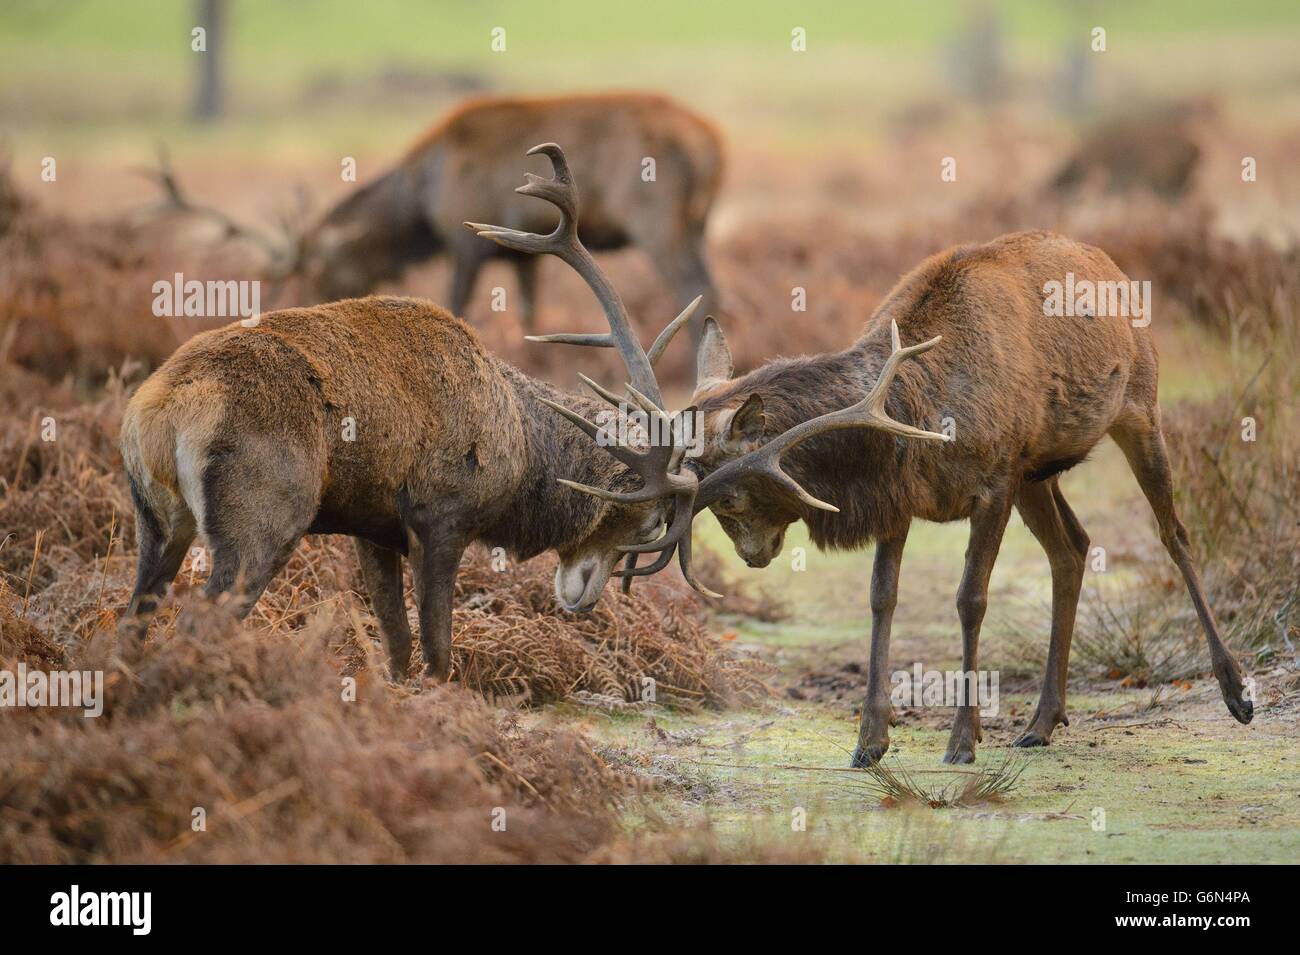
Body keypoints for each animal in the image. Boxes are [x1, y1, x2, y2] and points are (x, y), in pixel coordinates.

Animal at [120, 143, 707, 680]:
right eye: (646, 522)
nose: (585, 600)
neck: (522, 453)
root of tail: (160, 412)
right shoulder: (442, 515)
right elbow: (439, 653)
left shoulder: (371, 527)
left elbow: (397, 645)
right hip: (262, 518)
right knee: (196, 621)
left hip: (157, 523)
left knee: (131, 621)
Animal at [145, 93, 723, 341]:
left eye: (323, 271)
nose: (301, 309)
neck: (422, 202)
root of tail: (712, 145)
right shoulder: (526, 252)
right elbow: (531, 314)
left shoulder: (464, 239)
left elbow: (456, 305)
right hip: (695, 225)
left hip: (659, 222)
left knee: (696, 288)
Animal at [539, 230, 1255, 765]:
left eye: (732, 496)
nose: (752, 556)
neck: (922, 414)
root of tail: (1110, 264)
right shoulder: (901, 498)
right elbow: (881, 599)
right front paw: (869, 741)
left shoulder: (995, 478)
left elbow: (970, 599)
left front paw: (962, 741)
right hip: (1040, 472)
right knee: (1073, 549)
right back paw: (1043, 721)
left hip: (1139, 407)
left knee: (1173, 533)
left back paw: (1234, 691)